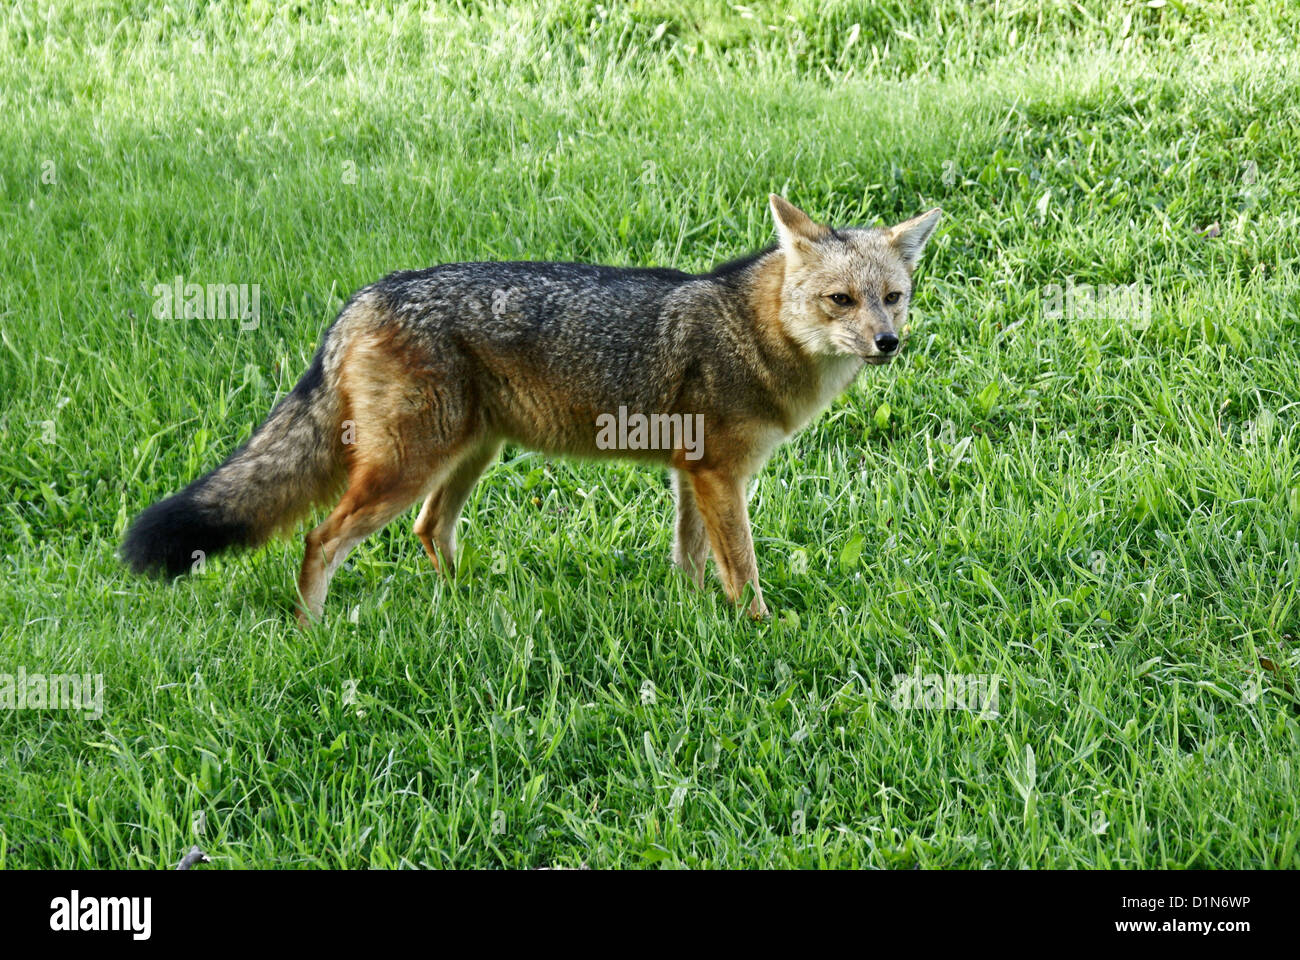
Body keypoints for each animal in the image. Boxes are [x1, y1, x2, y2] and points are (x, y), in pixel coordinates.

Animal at [122, 195, 941, 623]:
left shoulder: (690, 474)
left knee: (430, 531)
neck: (755, 329)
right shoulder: (718, 477)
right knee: (320, 540)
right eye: (841, 300)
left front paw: (690, 621)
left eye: (892, 297)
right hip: (406, 470)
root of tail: (365, 296)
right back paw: (312, 630)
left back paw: (461, 607)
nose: (888, 342)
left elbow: (692, 562)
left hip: (464, 459)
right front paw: (759, 634)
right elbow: (742, 570)